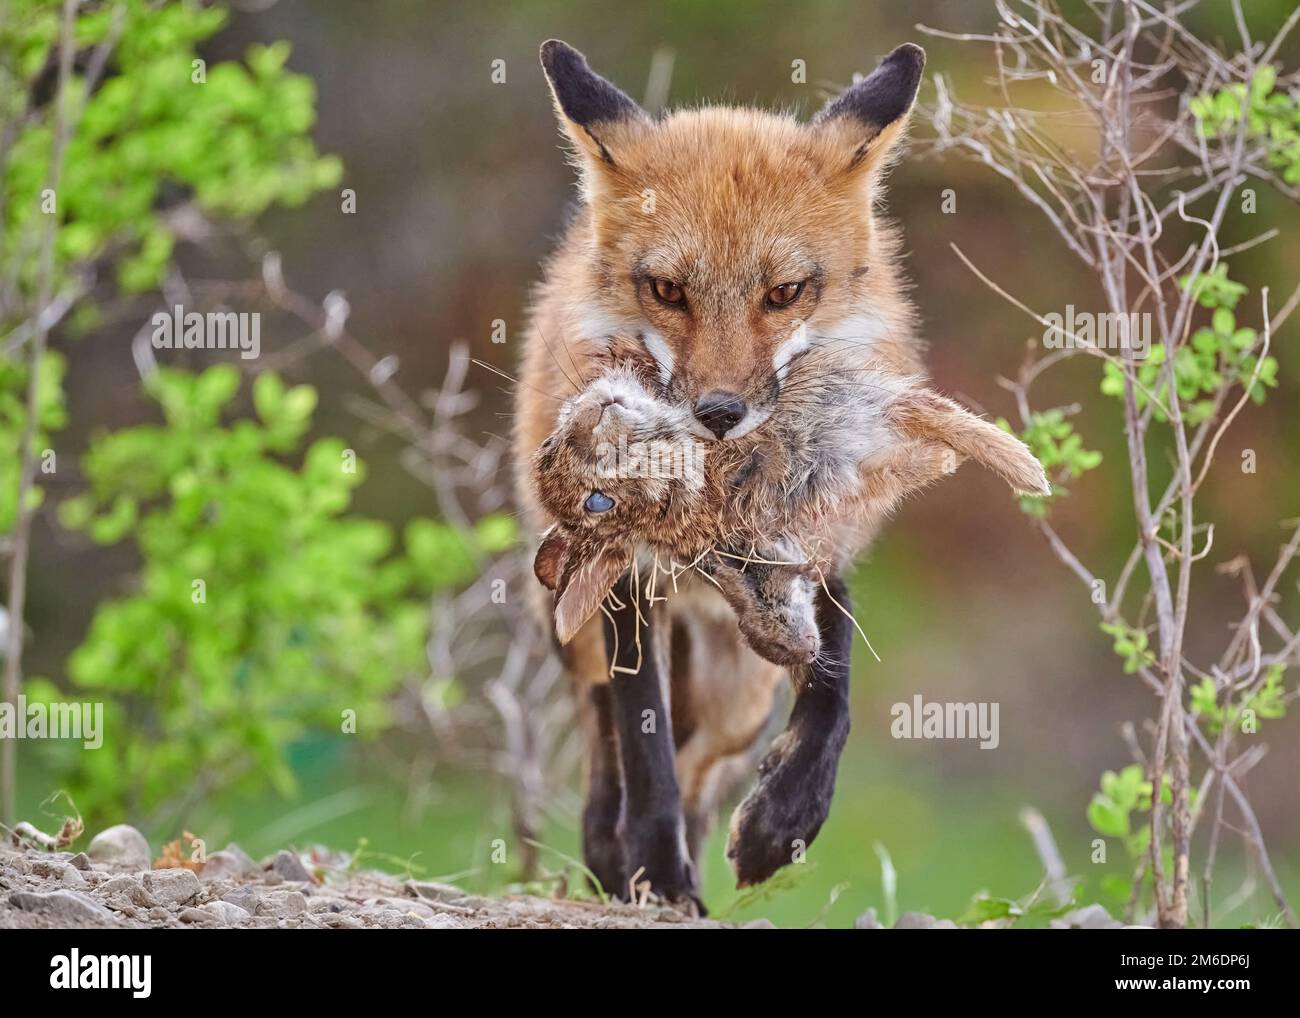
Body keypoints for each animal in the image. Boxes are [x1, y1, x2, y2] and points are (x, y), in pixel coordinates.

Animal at [513, 39, 1017, 909]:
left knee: (703, 759)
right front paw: (656, 872)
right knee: (608, 731)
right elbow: (642, 743)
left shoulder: (817, 546)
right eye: (667, 289)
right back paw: (614, 850)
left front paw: (783, 823)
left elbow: (833, 685)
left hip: (736, 699)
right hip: (583, 624)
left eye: (784, 293)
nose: (719, 413)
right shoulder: (626, 577)